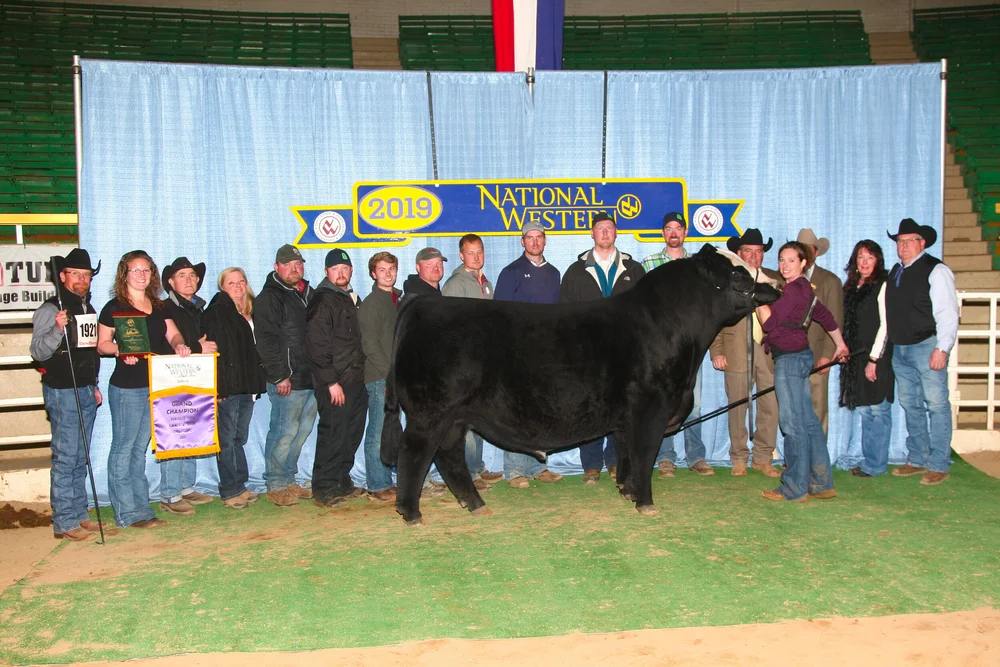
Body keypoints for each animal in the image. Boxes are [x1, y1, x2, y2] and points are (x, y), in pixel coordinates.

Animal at [380, 245, 781, 525]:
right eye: (738, 274)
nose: (775, 285)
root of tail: (422, 303)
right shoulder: (651, 405)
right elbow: (645, 452)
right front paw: (645, 502)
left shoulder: (627, 415)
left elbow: (626, 452)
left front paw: (626, 491)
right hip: (430, 412)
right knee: (415, 452)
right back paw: (411, 512)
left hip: (455, 417)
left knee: (448, 456)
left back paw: (476, 504)